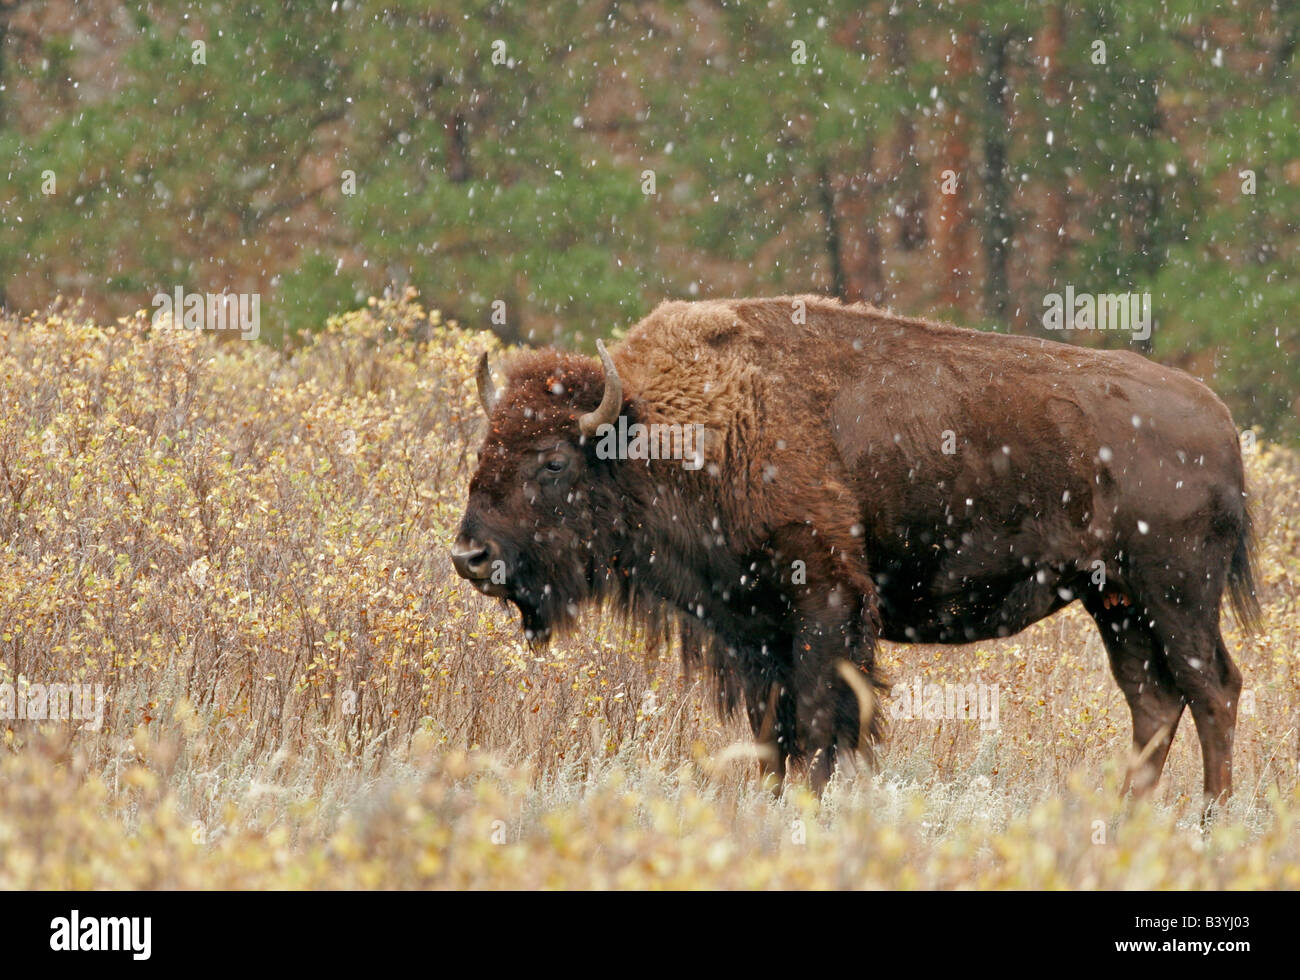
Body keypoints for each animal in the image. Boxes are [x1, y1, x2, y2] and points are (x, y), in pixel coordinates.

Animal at [452, 296, 1258, 805]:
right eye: (486, 447)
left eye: (553, 462)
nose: (470, 557)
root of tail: (1222, 423)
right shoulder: (757, 631)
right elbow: (774, 734)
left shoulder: (826, 604)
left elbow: (818, 723)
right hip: (1115, 603)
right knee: (1153, 700)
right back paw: (1127, 822)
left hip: (1177, 594)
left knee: (1213, 688)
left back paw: (1209, 820)